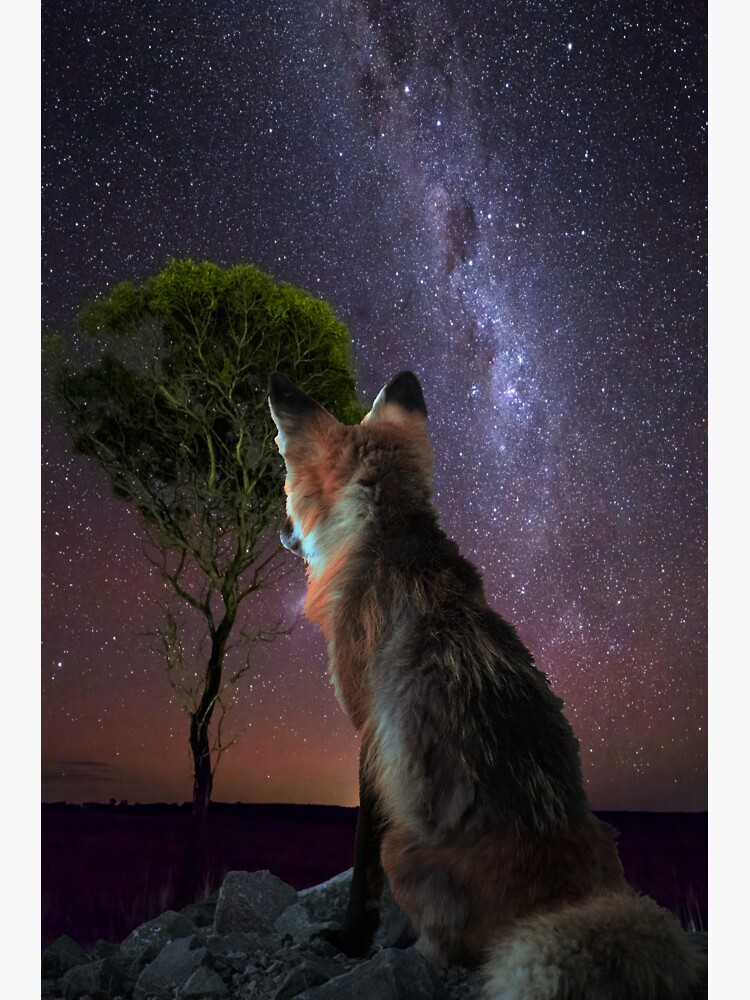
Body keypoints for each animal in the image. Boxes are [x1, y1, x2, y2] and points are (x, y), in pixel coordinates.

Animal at [267, 369, 704, 999]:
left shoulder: (369, 736)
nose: (280, 532)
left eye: (286, 483)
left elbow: (360, 871)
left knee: (447, 948)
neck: (390, 537)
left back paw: (413, 950)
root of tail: (571, 896)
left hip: (401, 846)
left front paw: (350, 940)